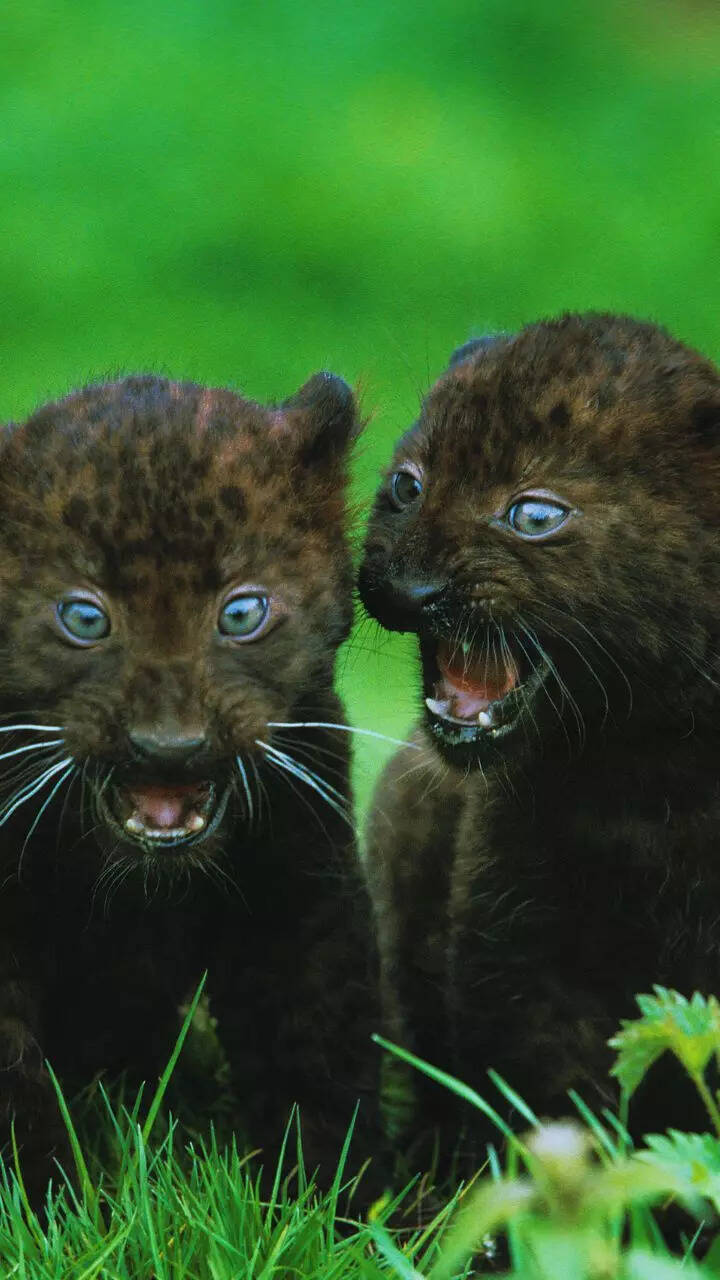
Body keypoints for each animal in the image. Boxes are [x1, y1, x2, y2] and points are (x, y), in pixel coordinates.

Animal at [0, 370, 380, 1203]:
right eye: (84, 618)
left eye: (241, 612)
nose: (168, 746)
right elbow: (13, 1073)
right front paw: (56, 1205)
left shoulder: (300, 886)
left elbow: (316, 1043)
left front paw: (337, 1205)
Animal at [358, 312, 720, 1170]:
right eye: (408, 485)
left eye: (534, 515)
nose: (410, 588)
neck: (639, 769)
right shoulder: (517, 935)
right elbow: (554, 1101)